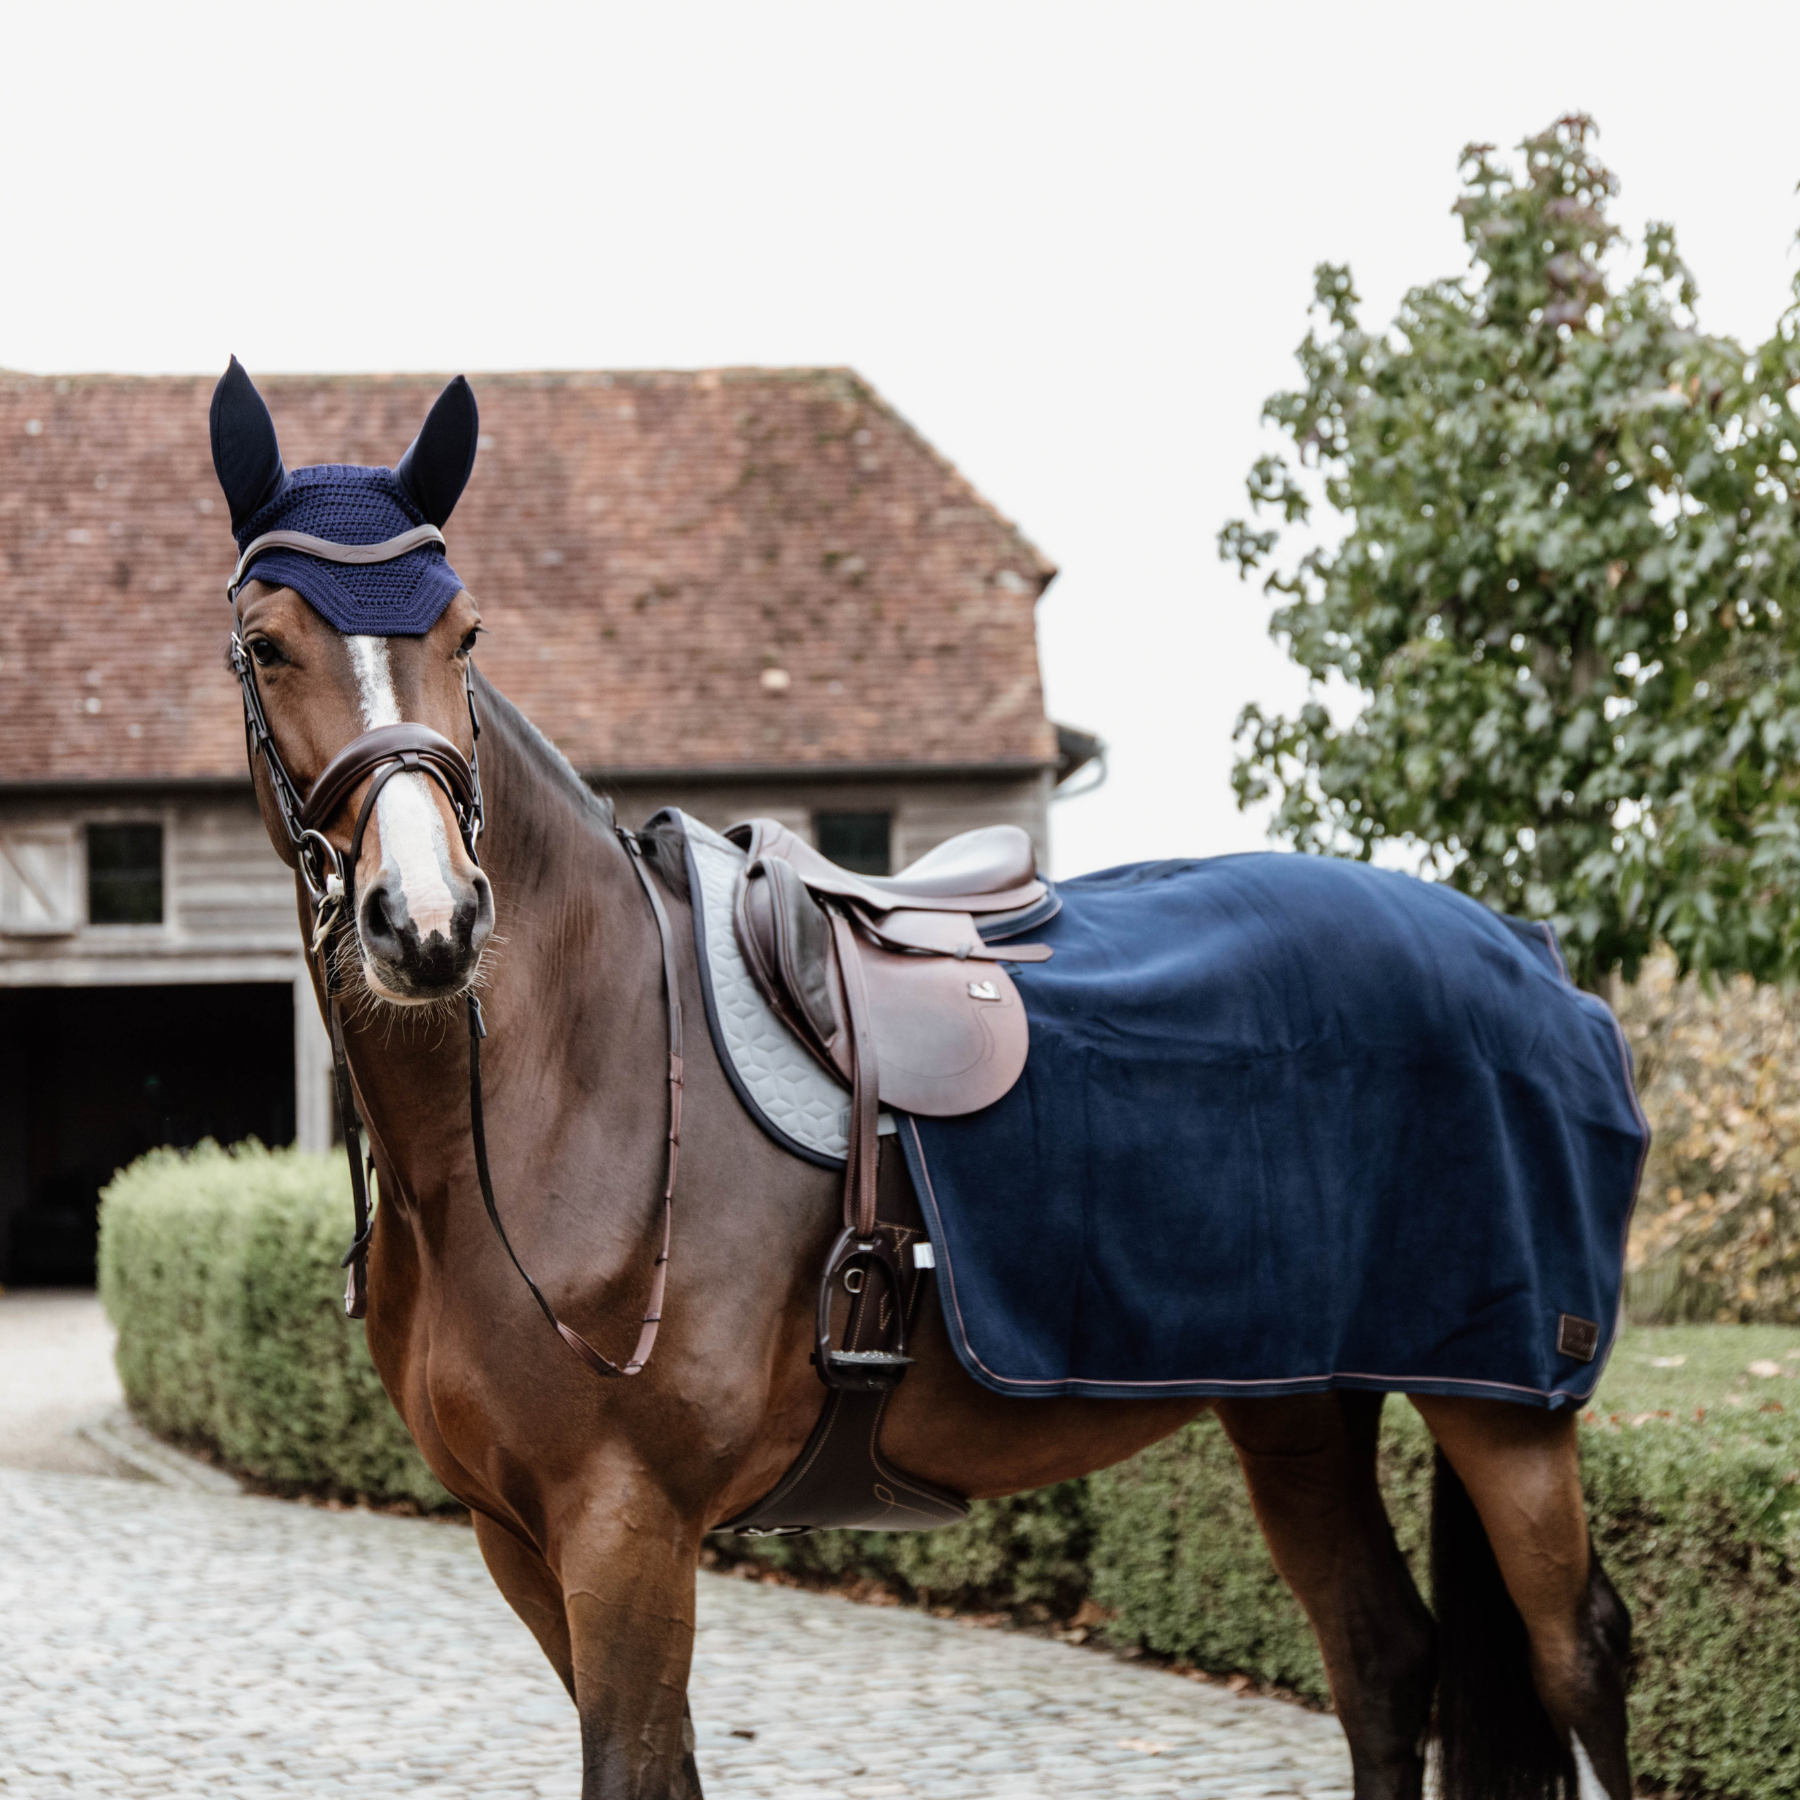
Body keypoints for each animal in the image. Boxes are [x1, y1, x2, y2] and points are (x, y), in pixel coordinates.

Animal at [209, 361, 1634, 1800]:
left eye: (465, 634)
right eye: (264, 644)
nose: (428, 924)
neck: (565, 1089)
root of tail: (1534, 954)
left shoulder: (626, 1527)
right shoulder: (522, 1539)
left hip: (1503, 1409)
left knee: (1579, 1655)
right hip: (1302, 1408)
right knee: (1383, 1658)